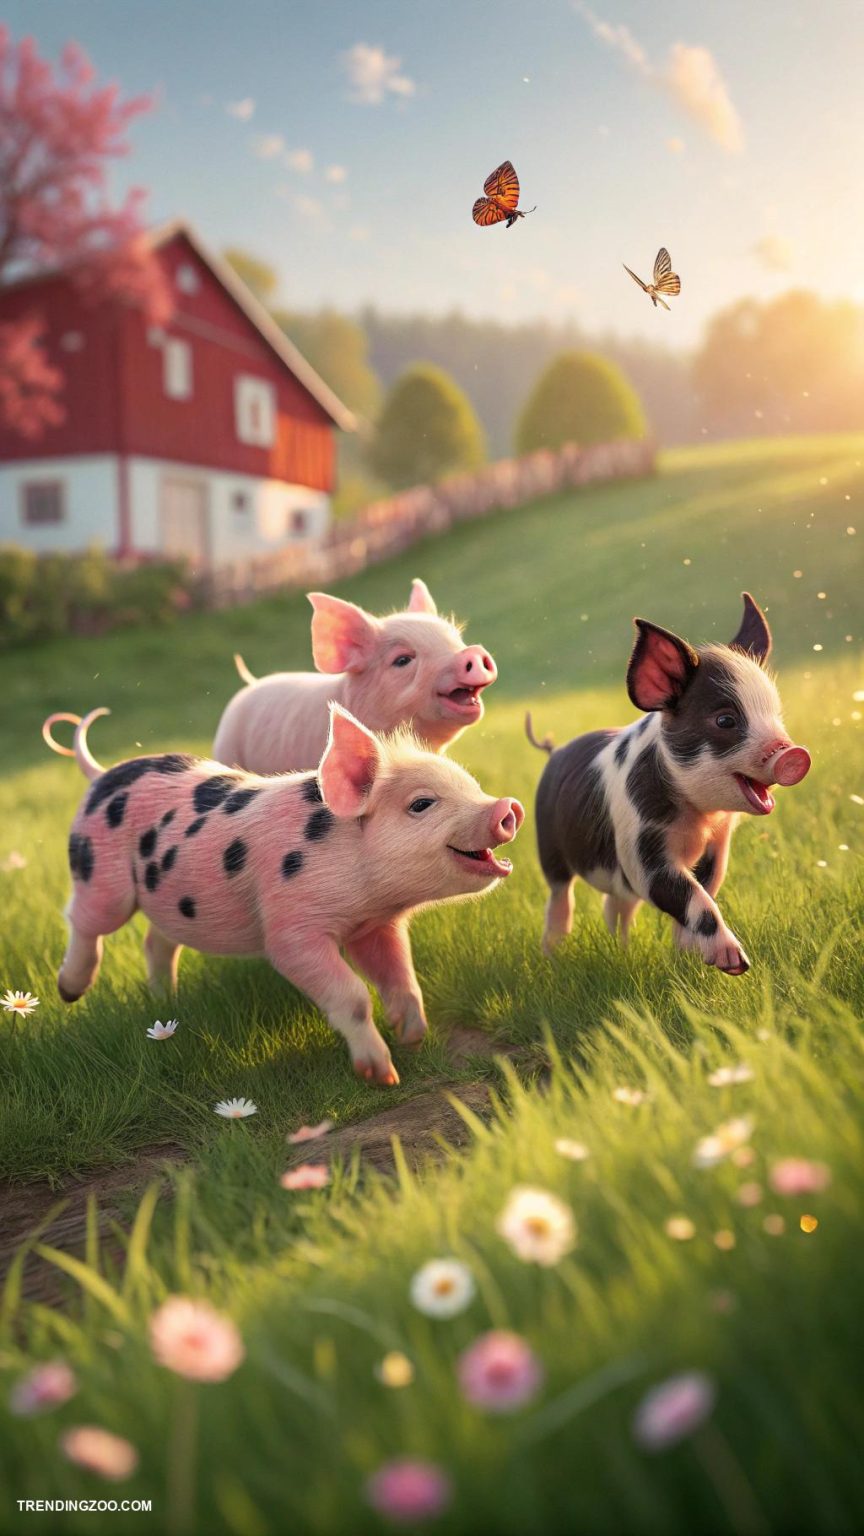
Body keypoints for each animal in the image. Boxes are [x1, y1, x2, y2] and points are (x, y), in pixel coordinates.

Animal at [44, 703, 523, 1086]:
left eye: (472, 787)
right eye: (422, 804)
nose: (507, 807)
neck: (365, 894)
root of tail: (102, 776)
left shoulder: (373, 927)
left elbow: (403, 980)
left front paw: (413, 1038)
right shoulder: (293, 928)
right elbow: (349, 993)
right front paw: (382, 1076)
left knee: (156, 940)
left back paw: (166, 1002)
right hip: (100, 875)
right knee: (82, 920)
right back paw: (69, 990)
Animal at [527, 594, 810, 974]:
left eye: (776, 715)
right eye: (726, 720)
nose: (794, 754)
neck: (698, 817)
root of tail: (554, 752)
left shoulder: (717, 848)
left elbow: (702, 893)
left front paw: (687, 962)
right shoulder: (641, 849)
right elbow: (691, 898)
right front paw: (736, 964)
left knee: (615, 906)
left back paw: (621, 951)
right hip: (549, 846)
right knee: (561, 898)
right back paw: (552, 956)